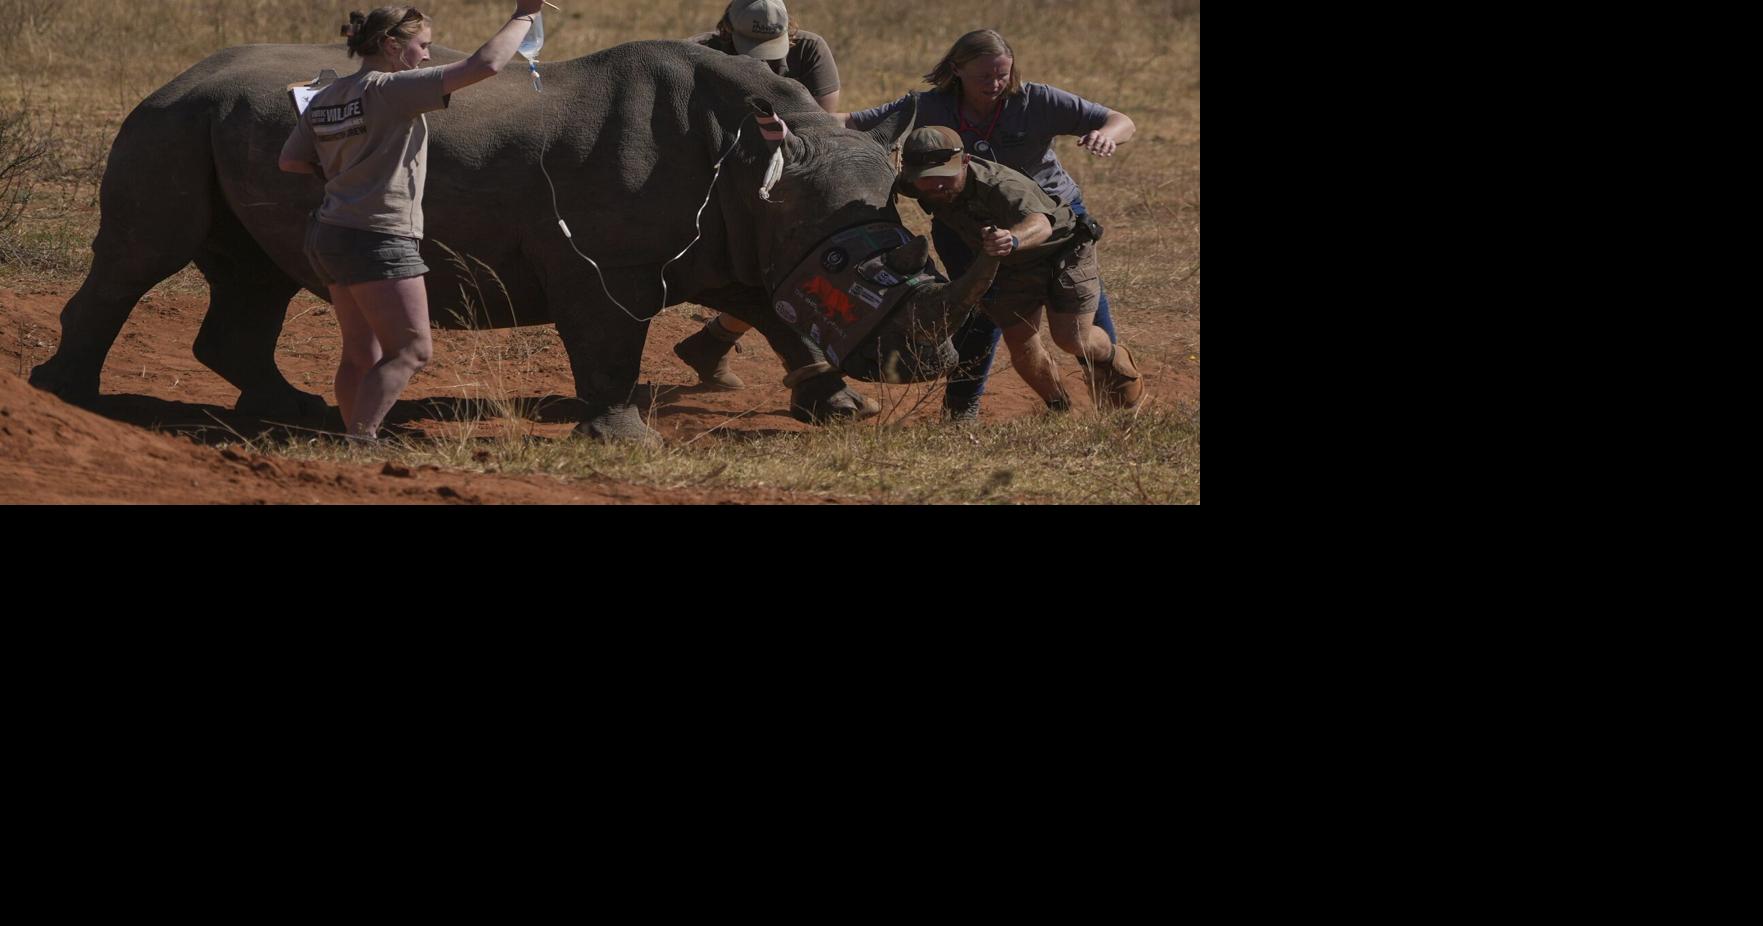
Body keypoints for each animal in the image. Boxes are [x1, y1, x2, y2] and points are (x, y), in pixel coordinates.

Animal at [28, 40, 998, 442]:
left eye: (901, 249)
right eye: (846, 262)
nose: (928, 366)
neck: (760, 165)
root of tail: (175, 75)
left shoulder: (750, 237)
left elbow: (782, 317)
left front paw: (842, 410)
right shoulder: (610, 264)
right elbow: (610, 340)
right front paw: (624, 440)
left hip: (223, 124)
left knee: (257, 270)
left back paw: (291, 410)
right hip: (169, 121)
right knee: (141, 256)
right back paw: (69, 399)